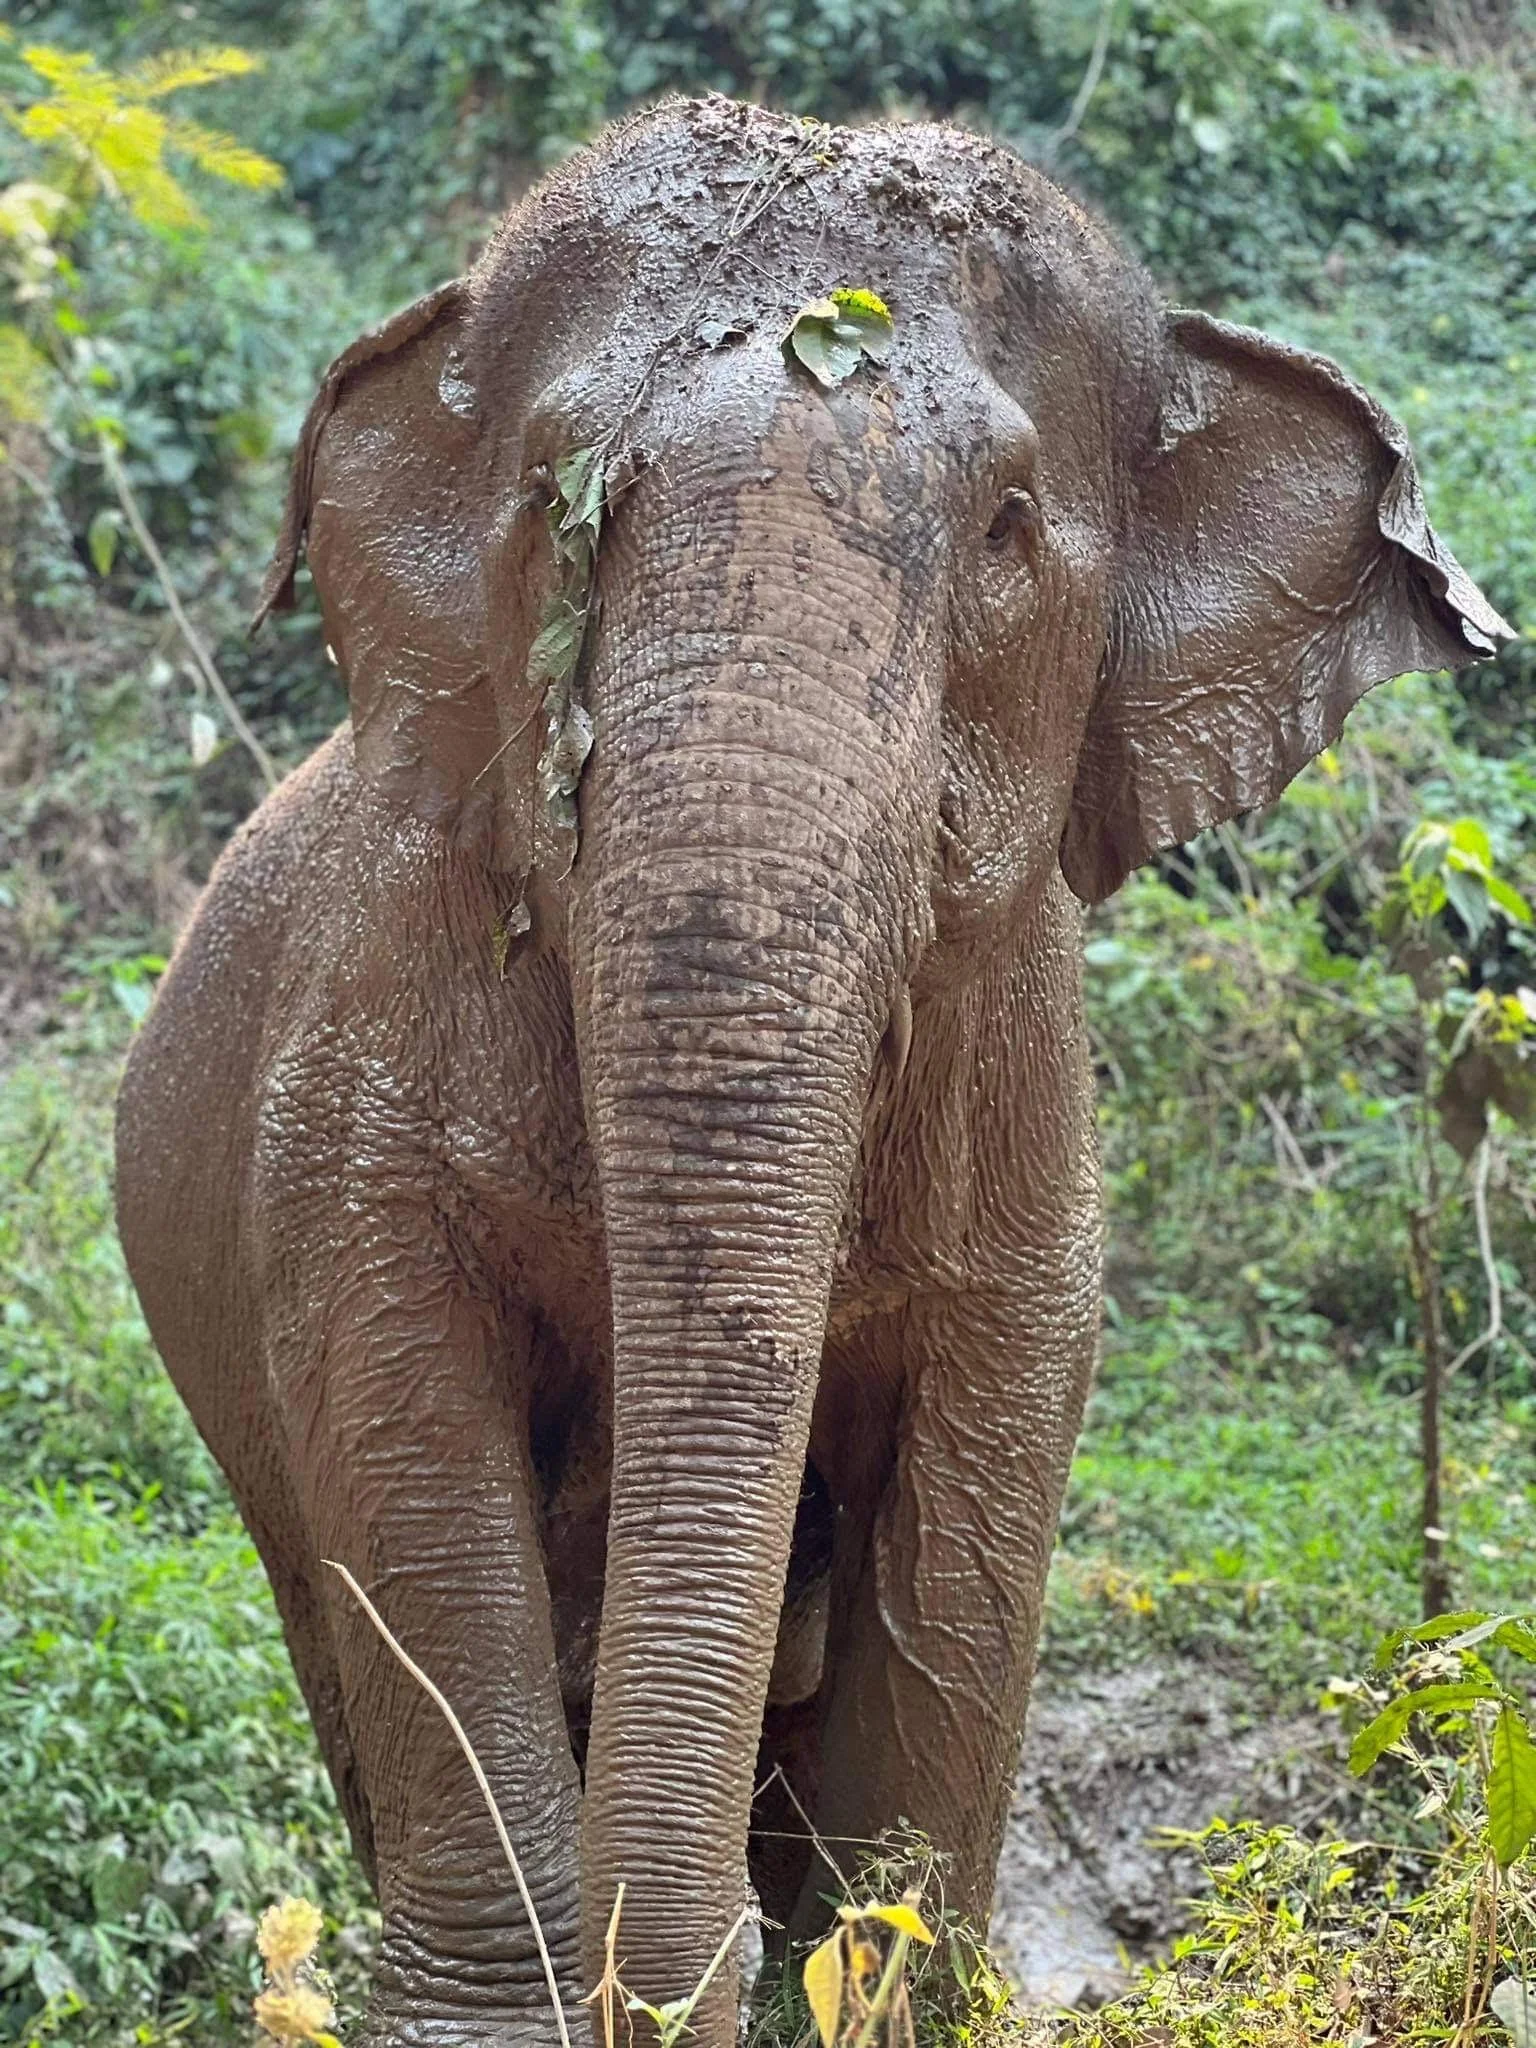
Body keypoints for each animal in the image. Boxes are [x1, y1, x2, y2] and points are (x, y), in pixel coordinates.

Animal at [115, 92, 1506, 2048]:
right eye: (555, 502)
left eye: (1007, 527)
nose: (686, 1968)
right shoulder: (367, 1036)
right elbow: (404, 1426)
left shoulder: (1022, 1087)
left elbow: (979, 1486)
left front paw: (875, 1972)